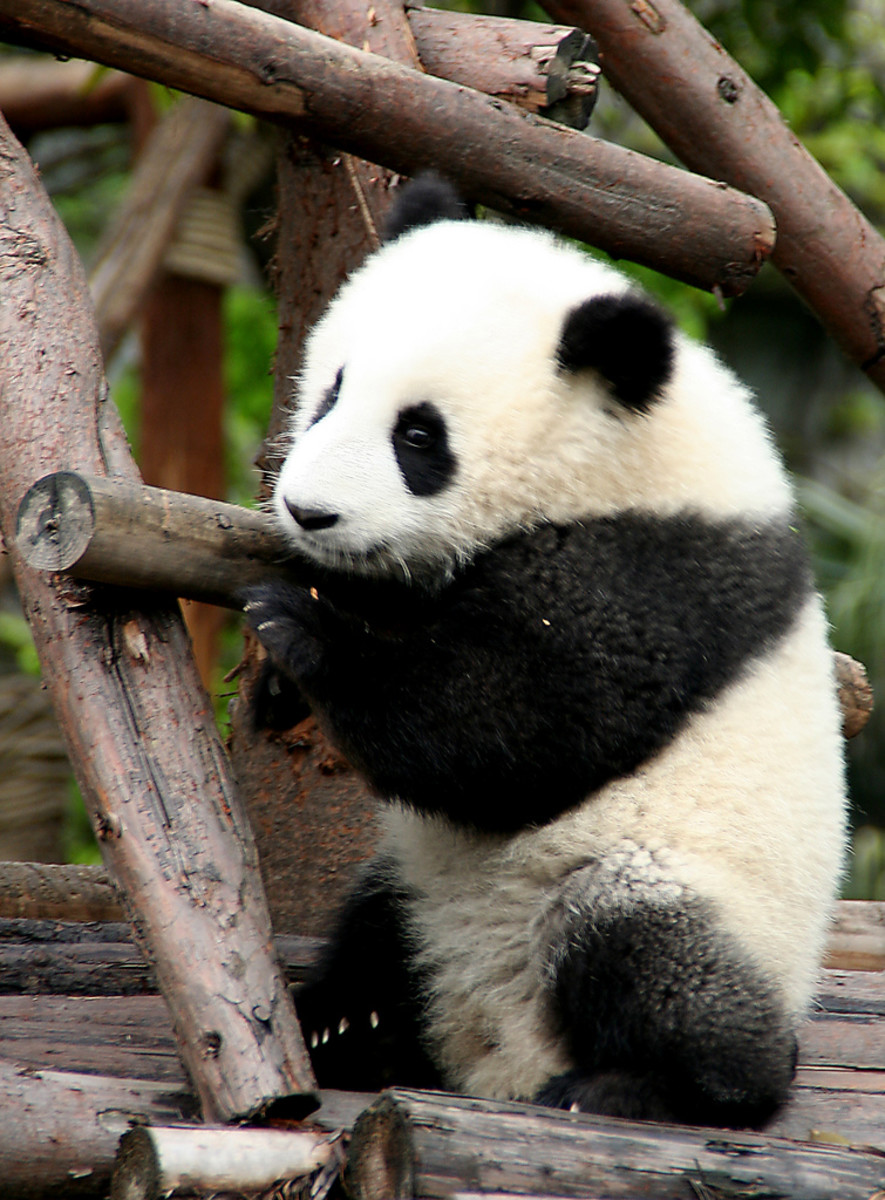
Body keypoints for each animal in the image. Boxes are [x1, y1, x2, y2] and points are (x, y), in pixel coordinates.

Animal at [246, 174, 847, 1127]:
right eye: (330, 393)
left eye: (418, 437)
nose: (309, 513)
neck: (620, 456)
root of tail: (493, 1056)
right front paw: (283, 666)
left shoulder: (651, 574)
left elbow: (510, 733)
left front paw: (299, 630)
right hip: (419, 890)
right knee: (380, 928)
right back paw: (343, 1024)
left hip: (697, 889)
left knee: (645, 943)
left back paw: (643, 1085)